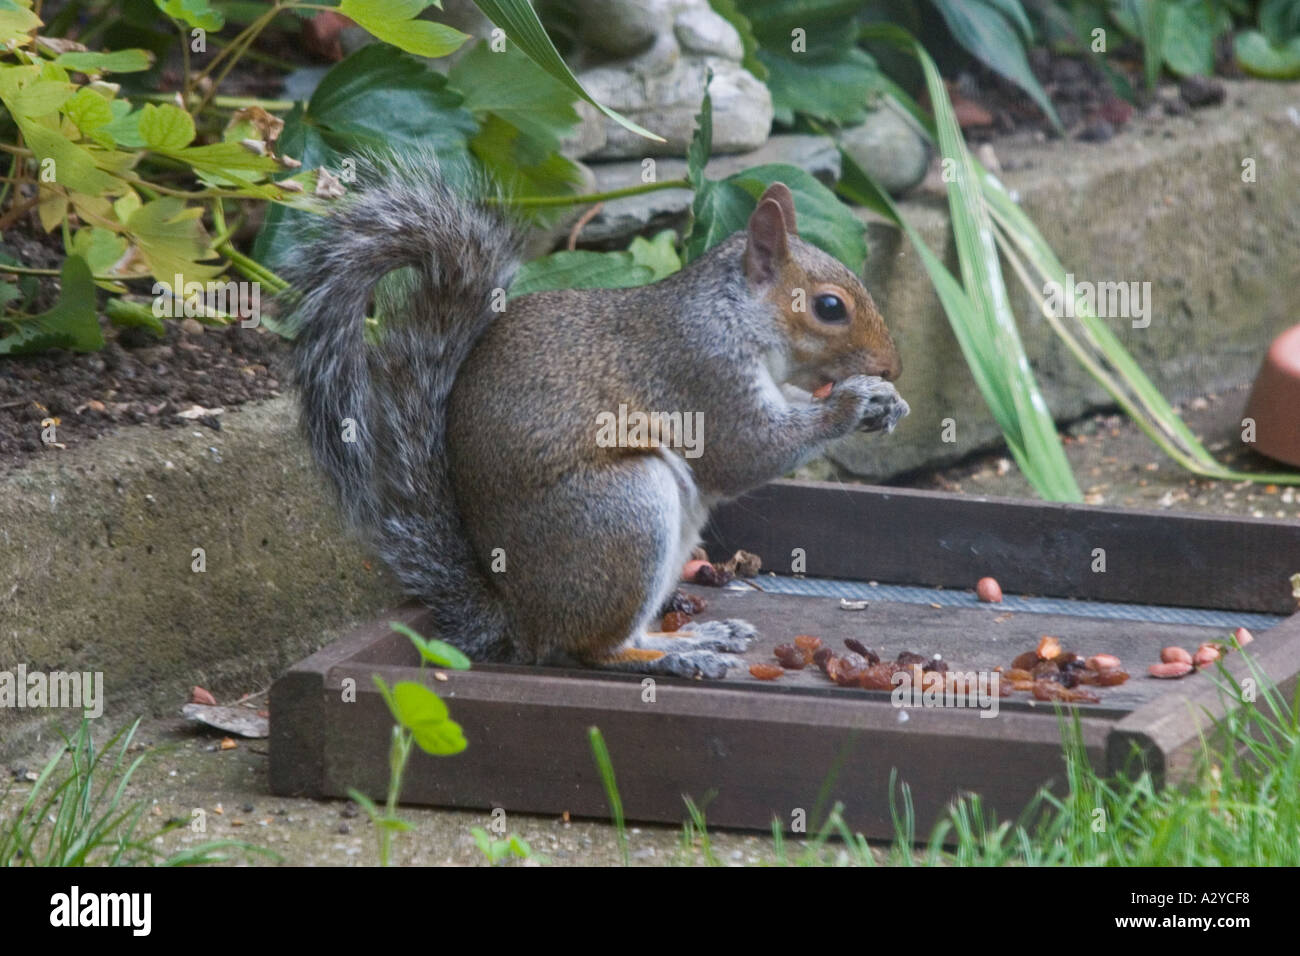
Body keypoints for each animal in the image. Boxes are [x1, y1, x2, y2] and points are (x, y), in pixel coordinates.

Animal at [288, 160, 907, 679]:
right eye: (830, 307)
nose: (893, 367)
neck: (733, 316)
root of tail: (521, 623)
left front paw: (883, 401)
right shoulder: (699, 375)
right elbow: (746, 453)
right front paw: (853, 404)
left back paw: (693, 636)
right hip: (623, 512)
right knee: (591, 649)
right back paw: (678, 657)